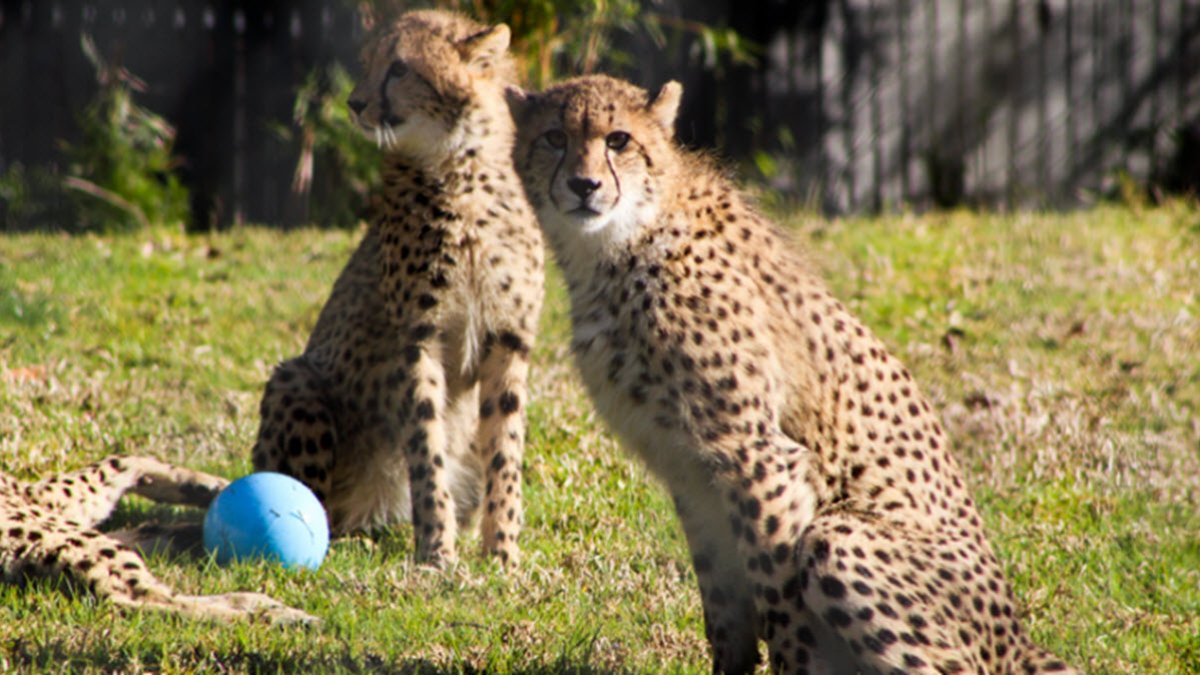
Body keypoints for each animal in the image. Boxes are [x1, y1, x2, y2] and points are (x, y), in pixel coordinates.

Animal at [0, 455, 313, 623]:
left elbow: (145, 526)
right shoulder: (46, 500)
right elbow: (119, 461)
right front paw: (209, 485)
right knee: (136, 597)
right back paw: (267, 615)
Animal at [251, 10, 544, 567]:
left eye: (401, 69)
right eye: (367, 64)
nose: (355, 103)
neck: (460, 168)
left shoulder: (508, 341)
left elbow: (505, 452)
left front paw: (502, 554)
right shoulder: (417, 338)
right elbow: (426, 448)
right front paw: (437, 552)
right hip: (297, 380)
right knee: (317, 499)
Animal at [507, 74, 1075, 674]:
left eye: (618, 139)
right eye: (553, 137)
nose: (584, 185)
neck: (620, 243)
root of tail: (1015, 636)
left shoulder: (756, 455)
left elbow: (780, 602)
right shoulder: (691, 474)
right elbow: (724, 607)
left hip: (841, 538)